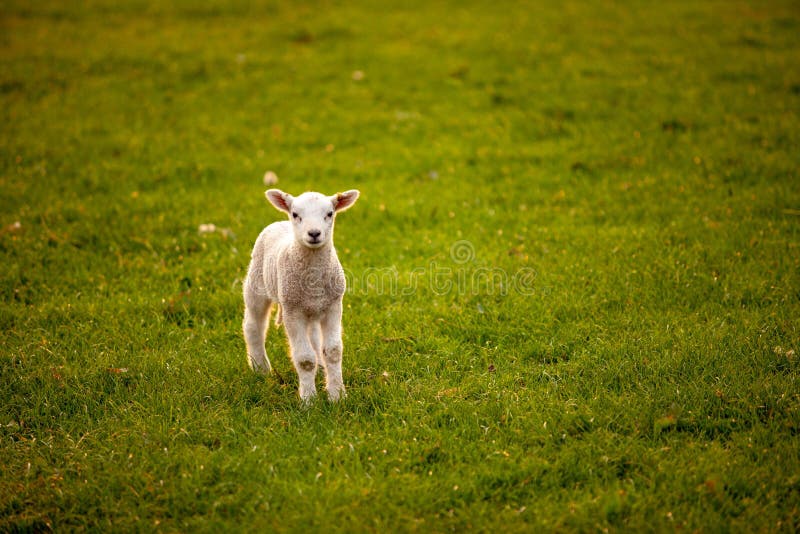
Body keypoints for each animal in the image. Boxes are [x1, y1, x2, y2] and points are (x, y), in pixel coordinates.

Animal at [242, 188, 360, 402]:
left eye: (330, 213)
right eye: (296, 214)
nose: (314, 233)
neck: (313, 280)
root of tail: (279, 222)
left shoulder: (333, 305)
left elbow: (333, 351)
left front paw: (337, 395)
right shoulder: (292, 311)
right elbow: (304, 359)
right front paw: (309, 400)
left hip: (310, 308)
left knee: (313, 336)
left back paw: (320, 367)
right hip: (256, 284)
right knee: (253, 325)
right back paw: (260, 367)